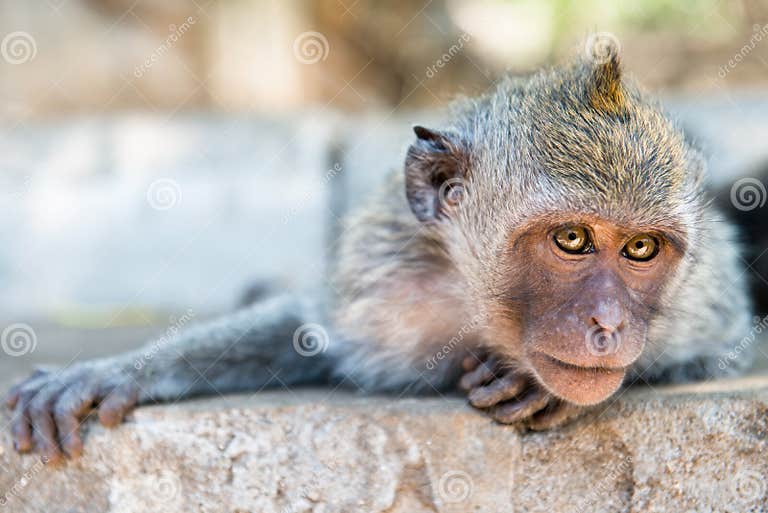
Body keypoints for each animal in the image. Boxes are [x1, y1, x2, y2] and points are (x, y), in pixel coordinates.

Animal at [5, 45, 757, 465]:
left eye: (640, 248)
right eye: (571, 238)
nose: (609, 323)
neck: (477, 303)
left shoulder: (697, 300)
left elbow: (732, 348)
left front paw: (534, 385)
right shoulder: (384, 285)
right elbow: (305, 331)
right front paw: (118, 369)